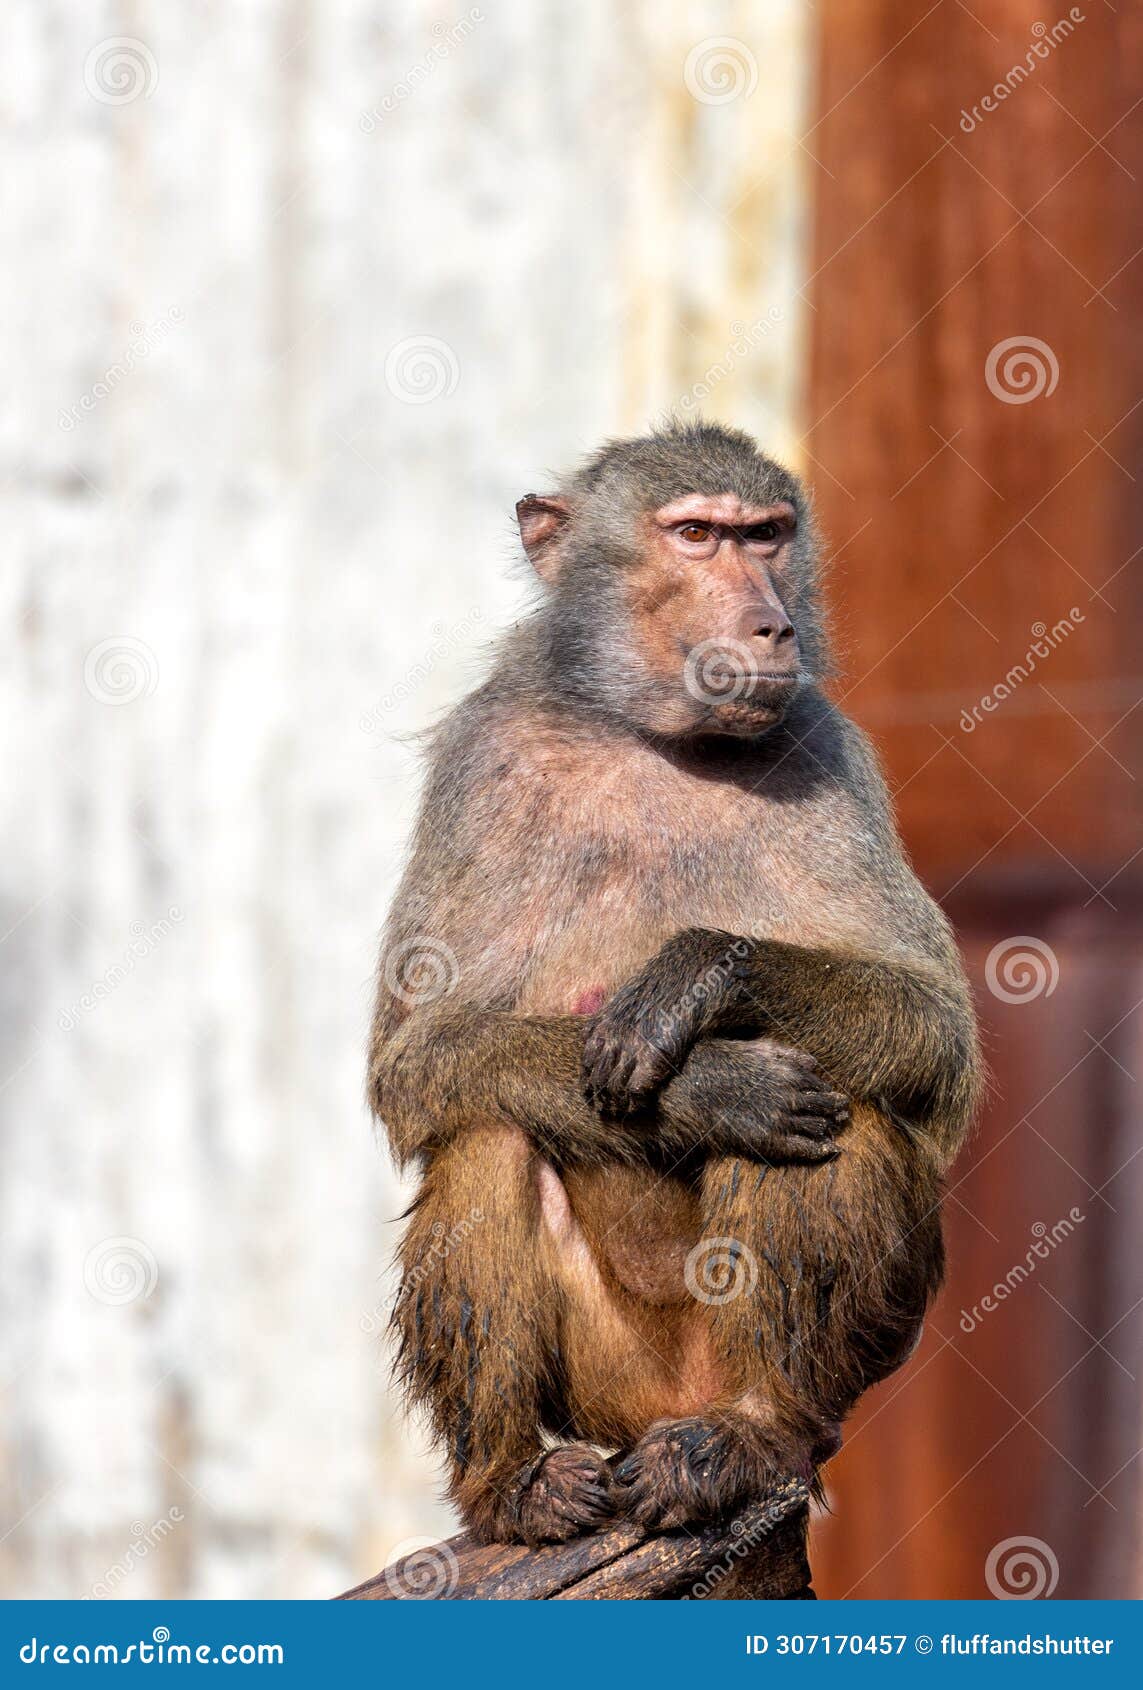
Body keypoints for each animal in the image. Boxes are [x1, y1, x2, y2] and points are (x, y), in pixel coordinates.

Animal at [368, 420, 980, 1548]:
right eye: (695, 535)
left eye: (767, 534)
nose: (772, 625)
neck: (660, 739)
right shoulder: (485, 756)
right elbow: (418, 1060)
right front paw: (711, 1085)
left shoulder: (827, 745)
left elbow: (935, 1031)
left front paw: (698, 979)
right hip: (606, 1377)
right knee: (489, 1128)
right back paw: (515, 1481)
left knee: (834, 1103)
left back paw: (745, 1434)